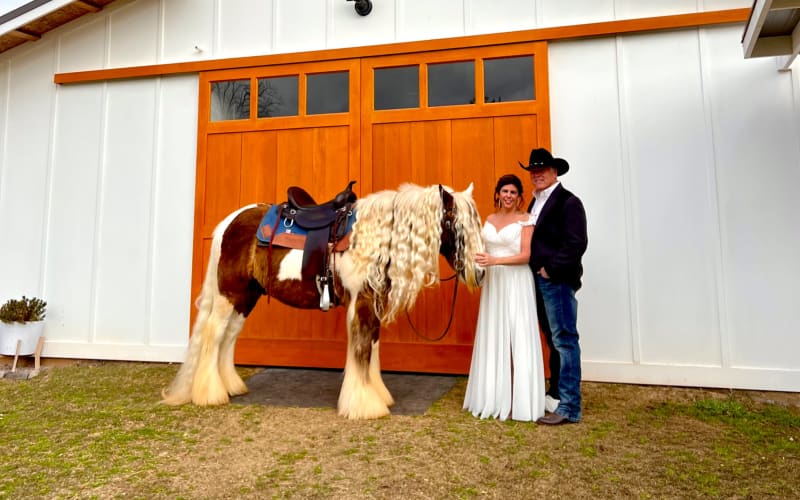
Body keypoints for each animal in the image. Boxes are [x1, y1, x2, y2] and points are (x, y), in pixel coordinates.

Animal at [161, 182, 485, 419]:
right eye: (454, 223)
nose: (481, 272)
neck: (374, 237)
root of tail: (230, 222)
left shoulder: (373, 302)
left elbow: (372, 349)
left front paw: (377, 395)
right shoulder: (361, 302)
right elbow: (362, 350)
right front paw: (364, 405)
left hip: (245, 298)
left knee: (229, 337)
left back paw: (231, 387)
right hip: (229, 294)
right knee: (214, 334)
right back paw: (210, 394)